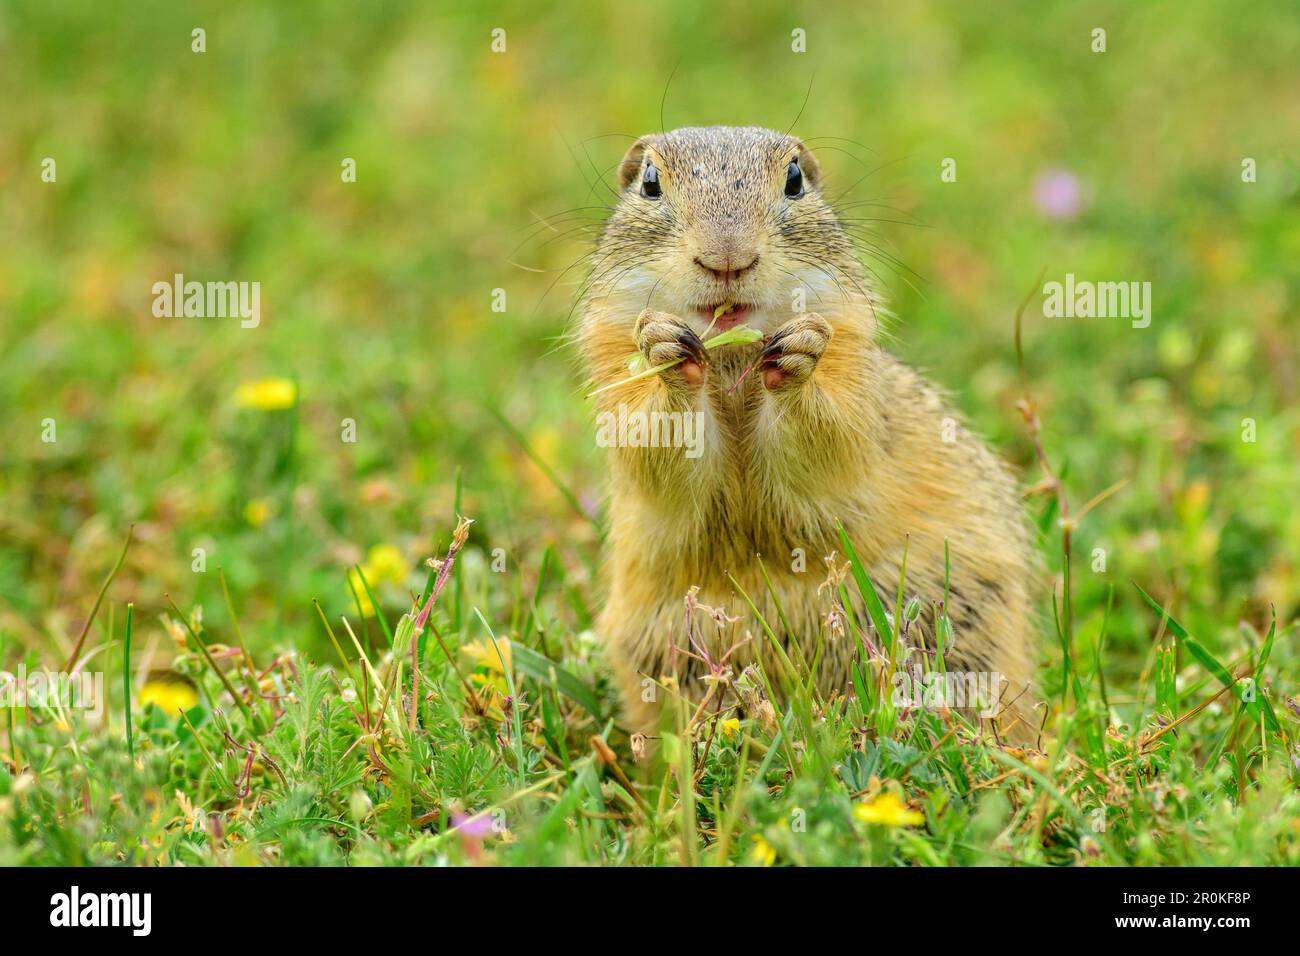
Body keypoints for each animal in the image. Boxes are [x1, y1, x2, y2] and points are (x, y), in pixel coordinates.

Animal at [578, 126, 1038, 744]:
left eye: (794, 180)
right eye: (650, 182)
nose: (727, 258)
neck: (733, 358)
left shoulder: (850, 363)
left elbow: (826, 434)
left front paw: (799, 353)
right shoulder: (613, 374)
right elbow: (654, 445)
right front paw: (664, 348)